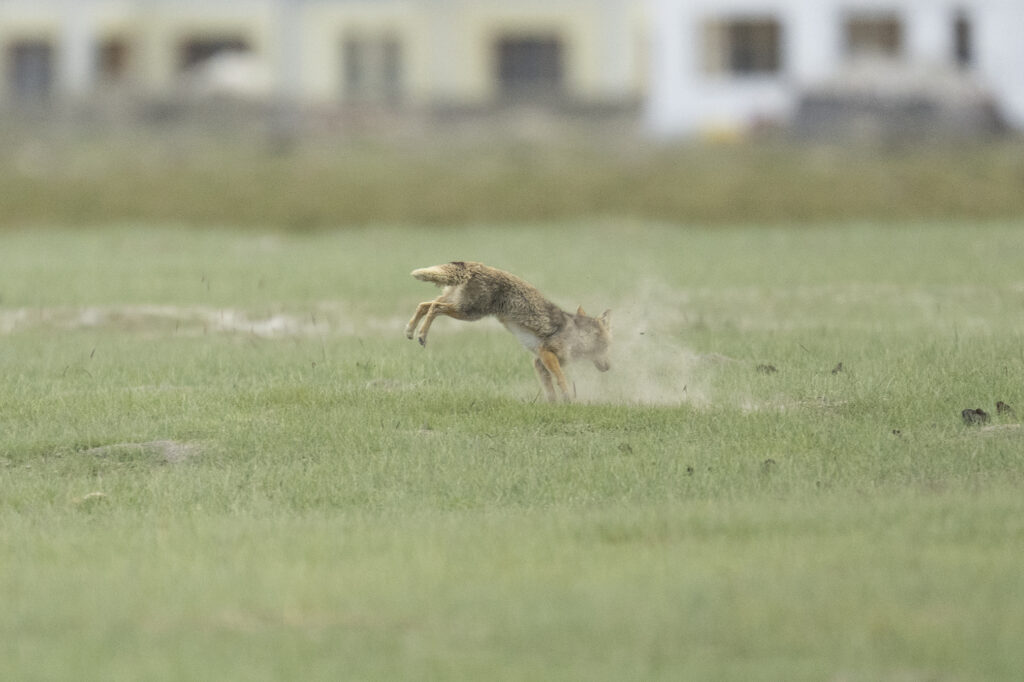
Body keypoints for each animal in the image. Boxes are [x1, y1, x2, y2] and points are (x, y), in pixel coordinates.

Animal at [405, 261, 611, 402]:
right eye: (607, 348)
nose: (609, 367)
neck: (575, 337)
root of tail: (477, 265)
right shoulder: (546, 354)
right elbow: (561, 379)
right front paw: (568, 398)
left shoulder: (539, 362)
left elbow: (549, 389)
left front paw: (554, 405)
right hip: (468, 312)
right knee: (434, 308)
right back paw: (421, 334)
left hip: (458, 307)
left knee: (425, 305)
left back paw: (410, 331)